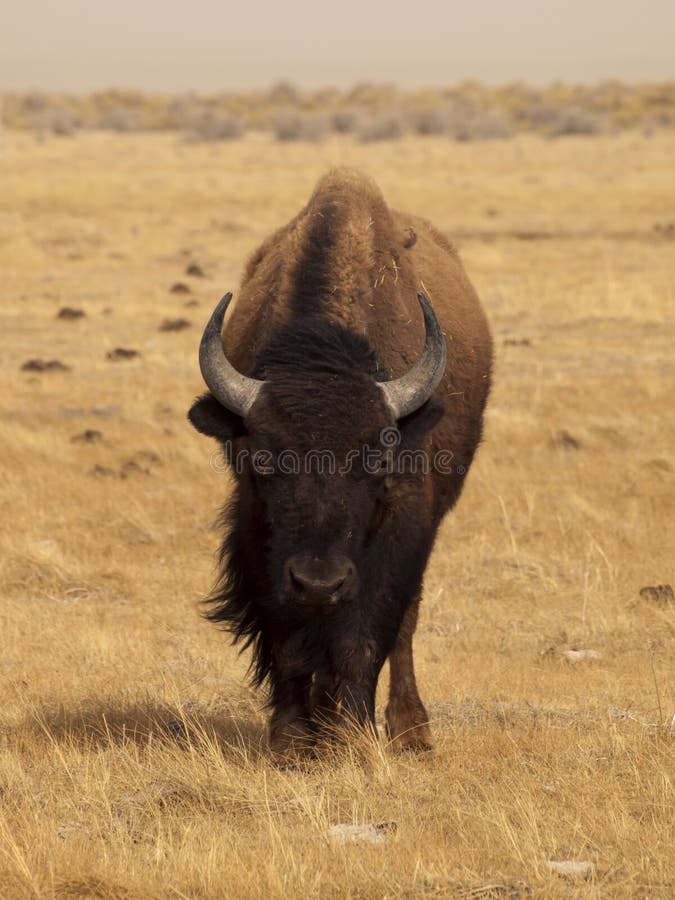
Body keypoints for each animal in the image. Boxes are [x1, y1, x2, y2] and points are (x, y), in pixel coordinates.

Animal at [189, 168, 492, 758]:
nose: (319, 582)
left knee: (403, 627)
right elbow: (287, 640)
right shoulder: (260, 536)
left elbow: (363, 638)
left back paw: (409, 731)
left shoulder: (399, 535)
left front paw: (350, 739)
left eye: (377, 456)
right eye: (264, 458)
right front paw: (291, 742)